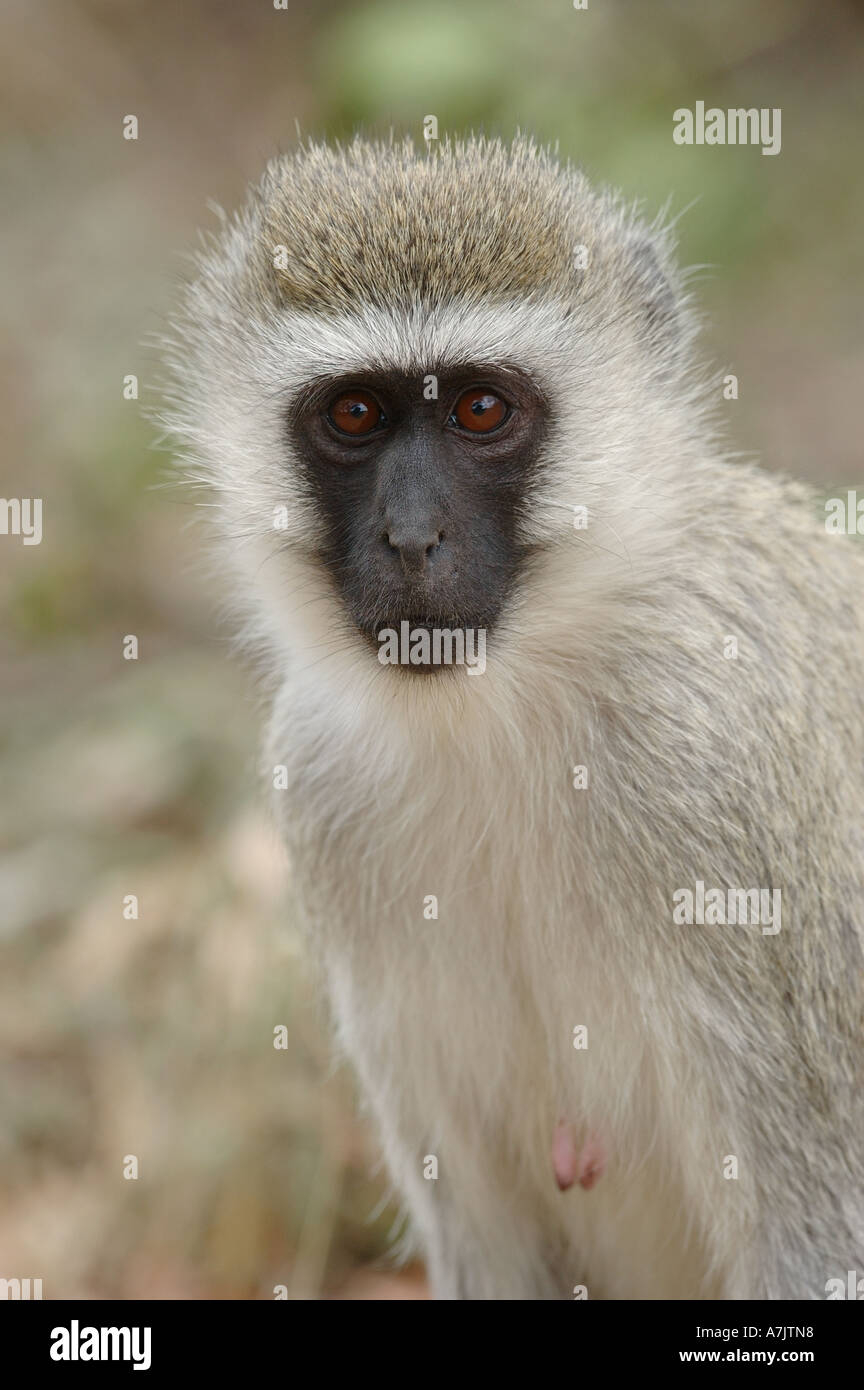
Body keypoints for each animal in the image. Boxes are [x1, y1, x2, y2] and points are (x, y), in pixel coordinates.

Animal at [162, 135, 864, 1300]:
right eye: (355, 414)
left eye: (480, 409)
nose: (411, 538)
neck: (505, 709)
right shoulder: (320, 783)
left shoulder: (714, 771)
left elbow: (819, 1235)